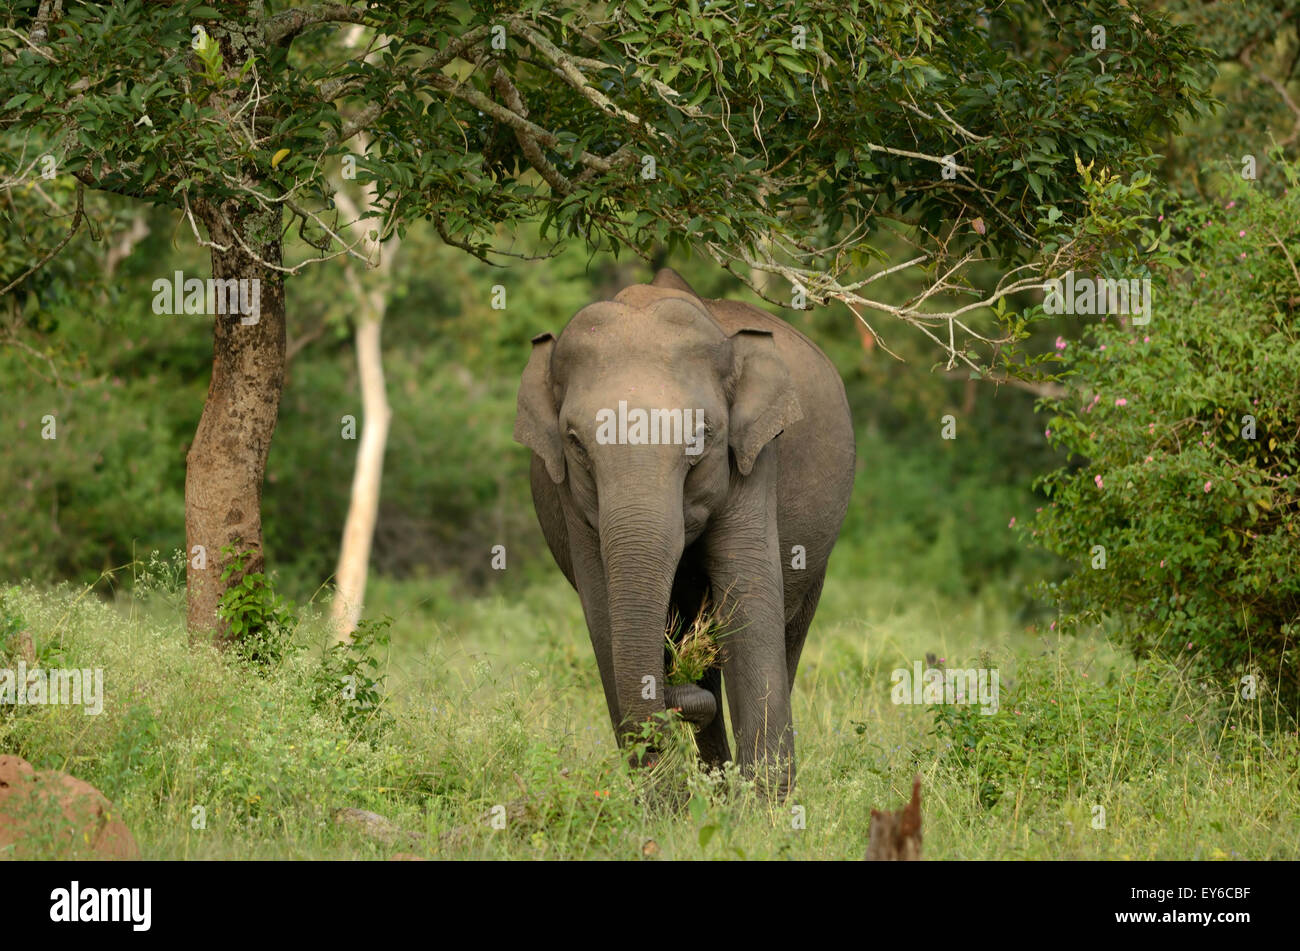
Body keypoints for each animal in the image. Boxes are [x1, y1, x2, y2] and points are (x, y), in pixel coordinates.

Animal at [514, 267, 854, 796]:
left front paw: (767, 810)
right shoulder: (569, 493)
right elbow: (603, 615)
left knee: (788, 634)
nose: (678, 684)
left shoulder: (756, 458)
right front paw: (664, 807)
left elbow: (750, 600)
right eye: (576, 444)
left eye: (700, 438)